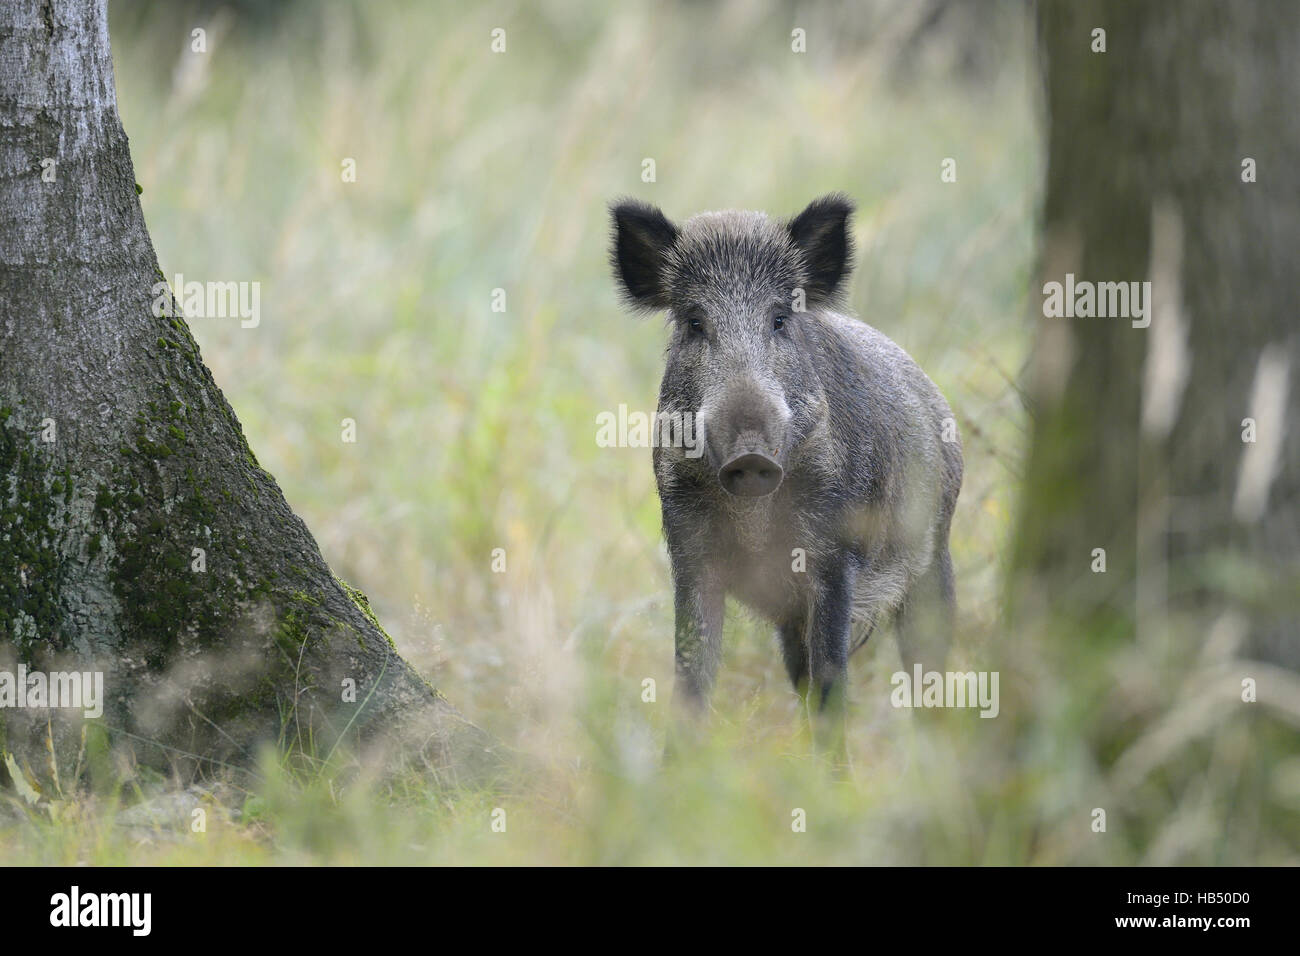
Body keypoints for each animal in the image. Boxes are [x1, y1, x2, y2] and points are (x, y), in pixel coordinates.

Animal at [609, 194, 963, 741]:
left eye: (778, 320)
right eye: (694, 323)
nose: (751, 455)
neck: (755, 522)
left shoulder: (835, 559)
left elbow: (833, 683)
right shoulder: (690, 557)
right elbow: (692, 679)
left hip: (933, 560)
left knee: (930, 673)